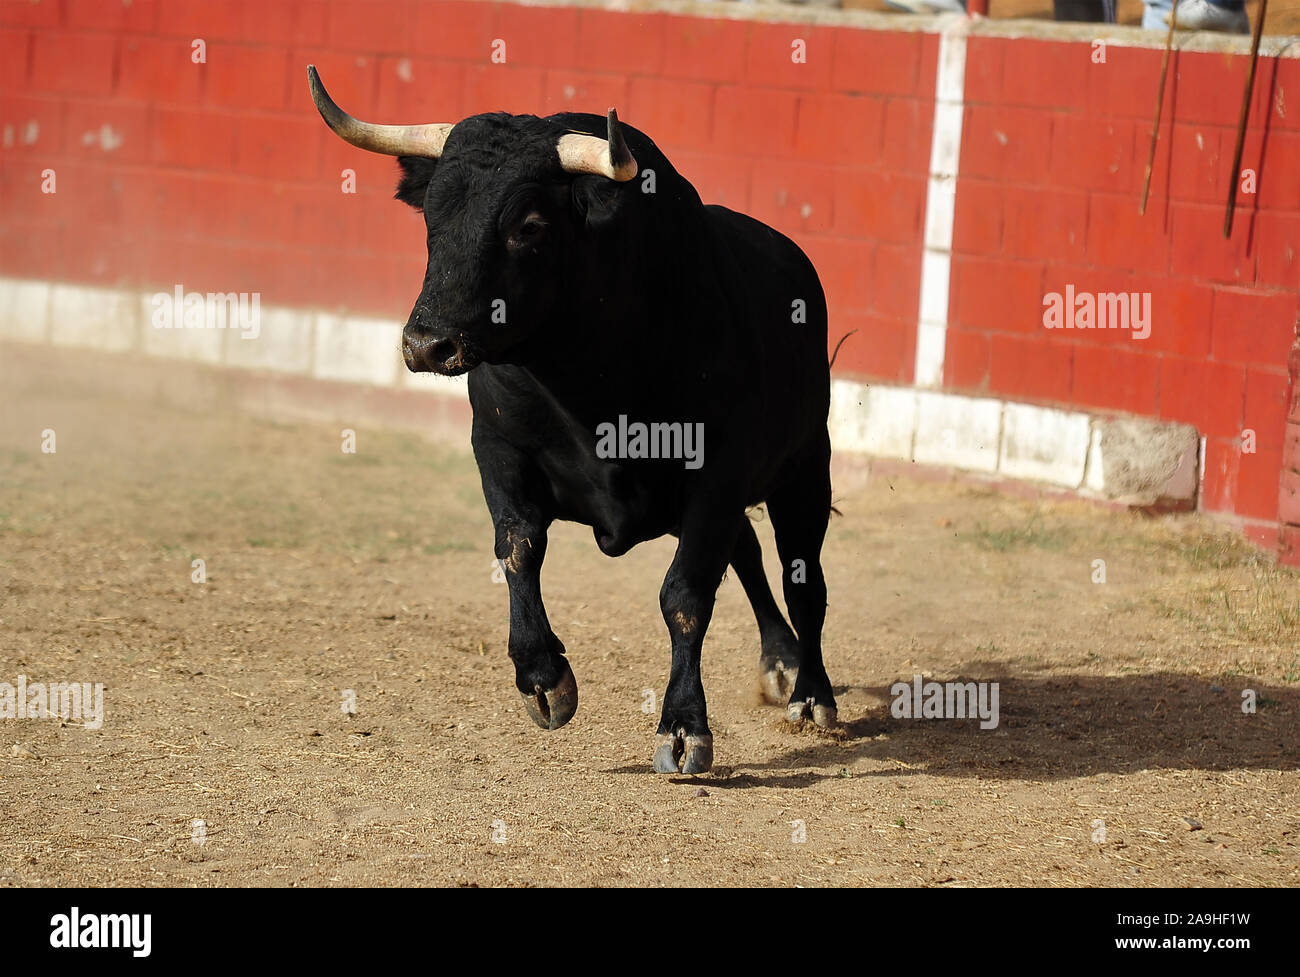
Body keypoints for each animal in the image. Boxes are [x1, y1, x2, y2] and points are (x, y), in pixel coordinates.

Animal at [307, 66, 838, 774]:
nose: (427, 344)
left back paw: (810, 691)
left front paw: (682, 727)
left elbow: (686, 595)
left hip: (806, 468)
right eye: (433, 215)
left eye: (530, 224)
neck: (588, 377)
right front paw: (543, 677)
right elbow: (518, 548)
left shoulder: (718, 472)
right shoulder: (498, 446)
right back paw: (779, 662)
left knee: (803, 578)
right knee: (749, 554)